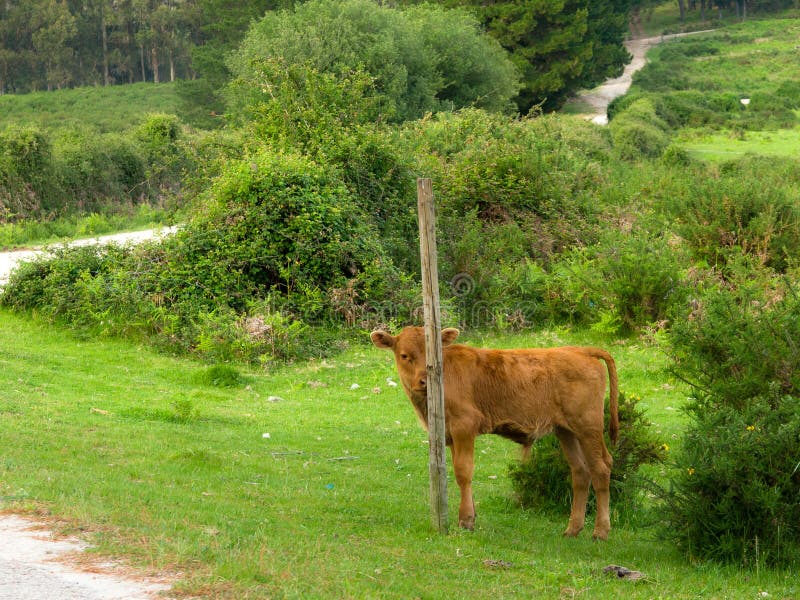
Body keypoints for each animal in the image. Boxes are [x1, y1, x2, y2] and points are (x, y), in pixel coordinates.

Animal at [370, 326, 619, 540]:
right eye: (404, 355)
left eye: (434, 354)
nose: (423, 381)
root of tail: (581, 350)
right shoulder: (450, 434)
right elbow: (459, 471)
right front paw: (471, 515)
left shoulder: (464, 425)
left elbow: (463, 471)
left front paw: (466, 519)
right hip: (566, 430)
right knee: (580, 471)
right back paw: (573, 529)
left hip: (588, 426)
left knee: (601, 468)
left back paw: (600, 531)